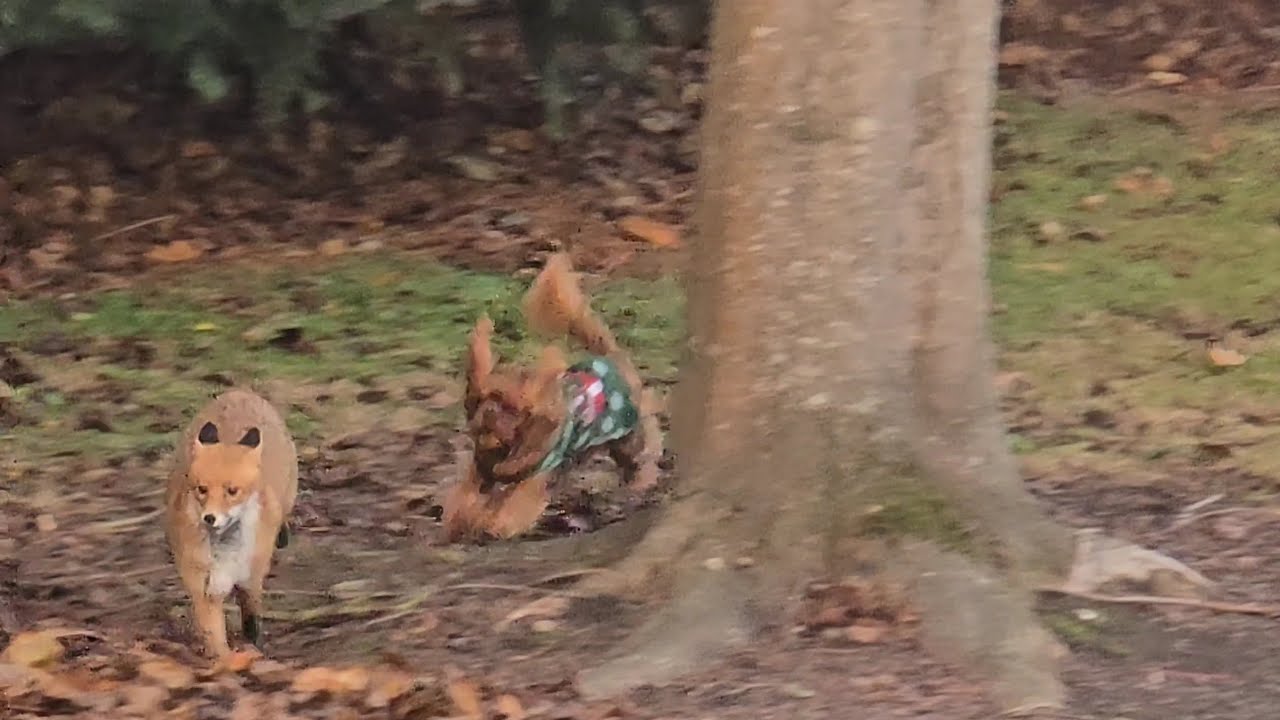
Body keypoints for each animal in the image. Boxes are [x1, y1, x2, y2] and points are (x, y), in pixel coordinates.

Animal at [164, 388, 298, 659]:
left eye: (232, 491)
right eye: (202, 489)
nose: (209, 518)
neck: (224, 554)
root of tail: (239, 391)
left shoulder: (250, 578)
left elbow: (251, 618)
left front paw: (254, 647)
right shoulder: (202, 586)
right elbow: (214, 634)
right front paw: (224, 661)